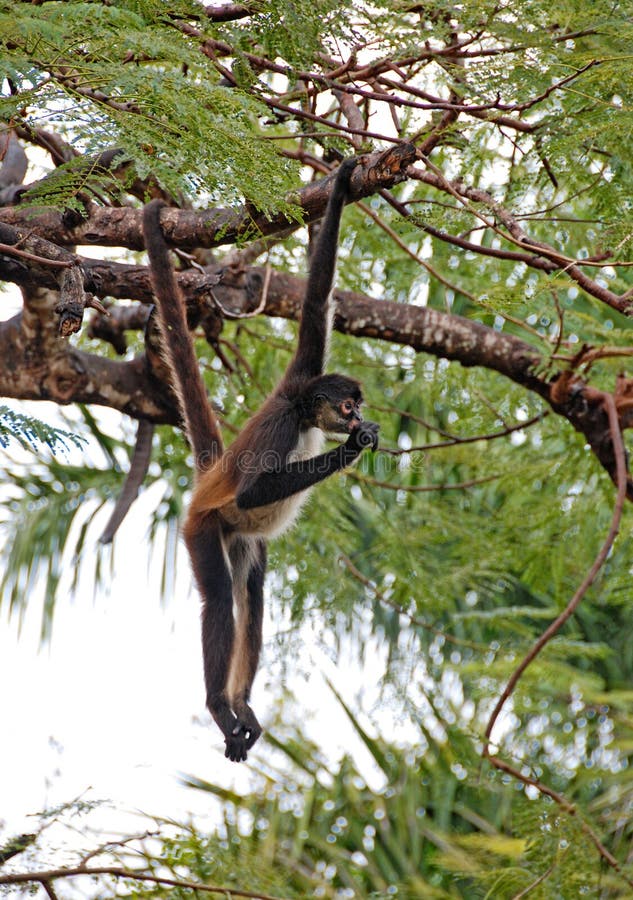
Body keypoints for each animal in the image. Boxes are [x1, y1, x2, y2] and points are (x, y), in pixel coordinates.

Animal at [142, 158, 379, 762]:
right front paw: (351, 448)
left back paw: (241, 703)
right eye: (349, 406)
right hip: (204, 526)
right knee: (222, 599)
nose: (356, 417)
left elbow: (317, 302)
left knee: (251, 591)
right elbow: (252, 491)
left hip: (239, 536)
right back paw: (219, 707)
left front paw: (341, 183)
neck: (301, 411)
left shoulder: (303, 373)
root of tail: (208, 479)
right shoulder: (282, 419)